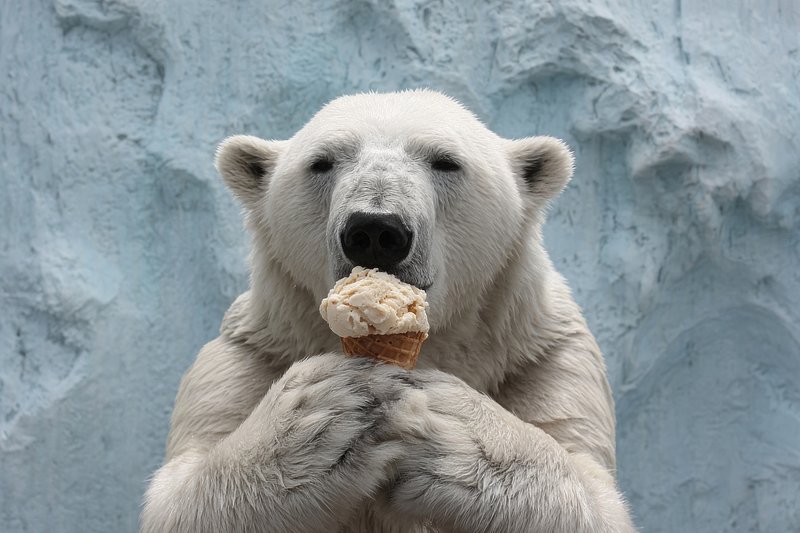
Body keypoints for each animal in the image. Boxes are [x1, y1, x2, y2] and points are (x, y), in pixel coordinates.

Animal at [141, 90, 636, 533]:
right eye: (322, 162)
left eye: (445, 161)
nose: (376, 230)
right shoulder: (254, 351)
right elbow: (178, 498)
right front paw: (329, 407)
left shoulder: (539, 356)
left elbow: (594, 494)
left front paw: (446, 425)